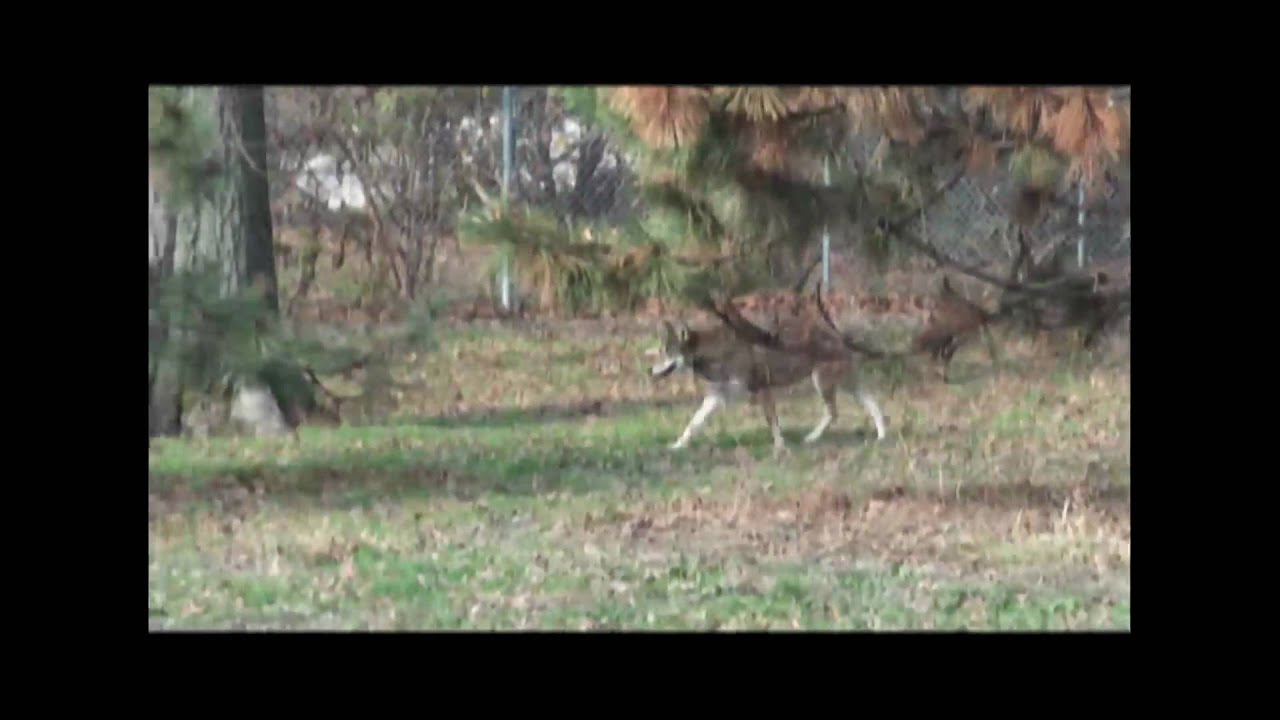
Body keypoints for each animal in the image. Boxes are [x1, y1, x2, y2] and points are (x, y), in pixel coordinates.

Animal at [647, 306, 887, 453]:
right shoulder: (717, 397)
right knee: (872, 404)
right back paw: (882, 436)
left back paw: (811, 438)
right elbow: (694, 423)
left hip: (822, 382)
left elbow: (772, 421)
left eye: (665, 352)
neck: (718, 351)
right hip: (847, 384)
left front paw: (781, 449)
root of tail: (838, 334)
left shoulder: (763, 388)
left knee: (834, 412)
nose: (649, 370)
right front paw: (677, 446)